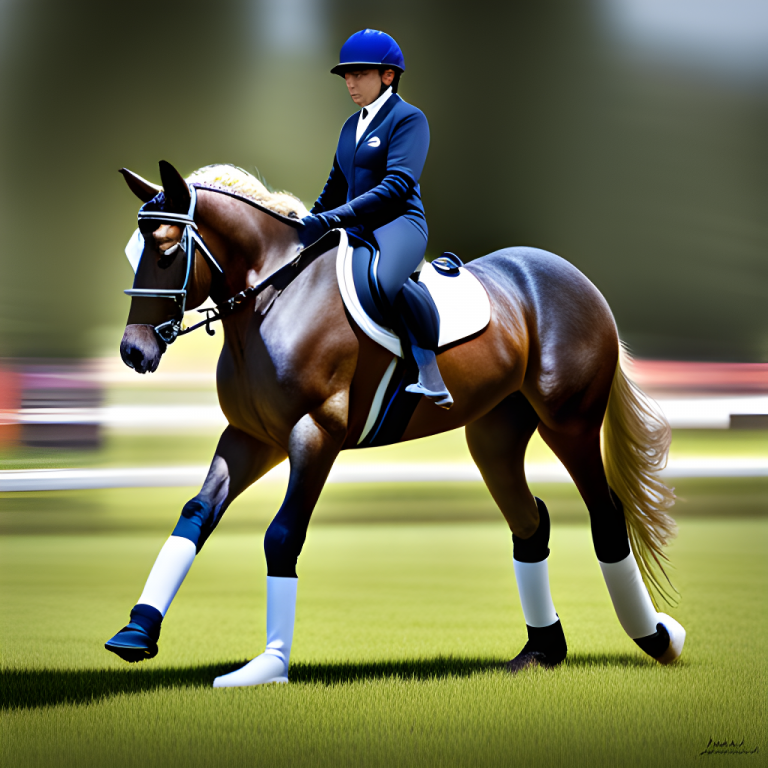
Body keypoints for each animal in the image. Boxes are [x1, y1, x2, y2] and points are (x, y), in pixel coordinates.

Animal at [109, 159, 684, 685]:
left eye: (166, 251)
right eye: (132, 254)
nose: (134, 352)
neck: (273, 297)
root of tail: (578, 279)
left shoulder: (315, 433)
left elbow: (283, 535)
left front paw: (269, 667)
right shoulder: (251, 437)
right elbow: (197, 513)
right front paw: (136, 633)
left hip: (570, 423)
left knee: (606, 516)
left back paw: (657, 638)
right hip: (494, 434)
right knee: (530, 522)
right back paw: (542, 651)